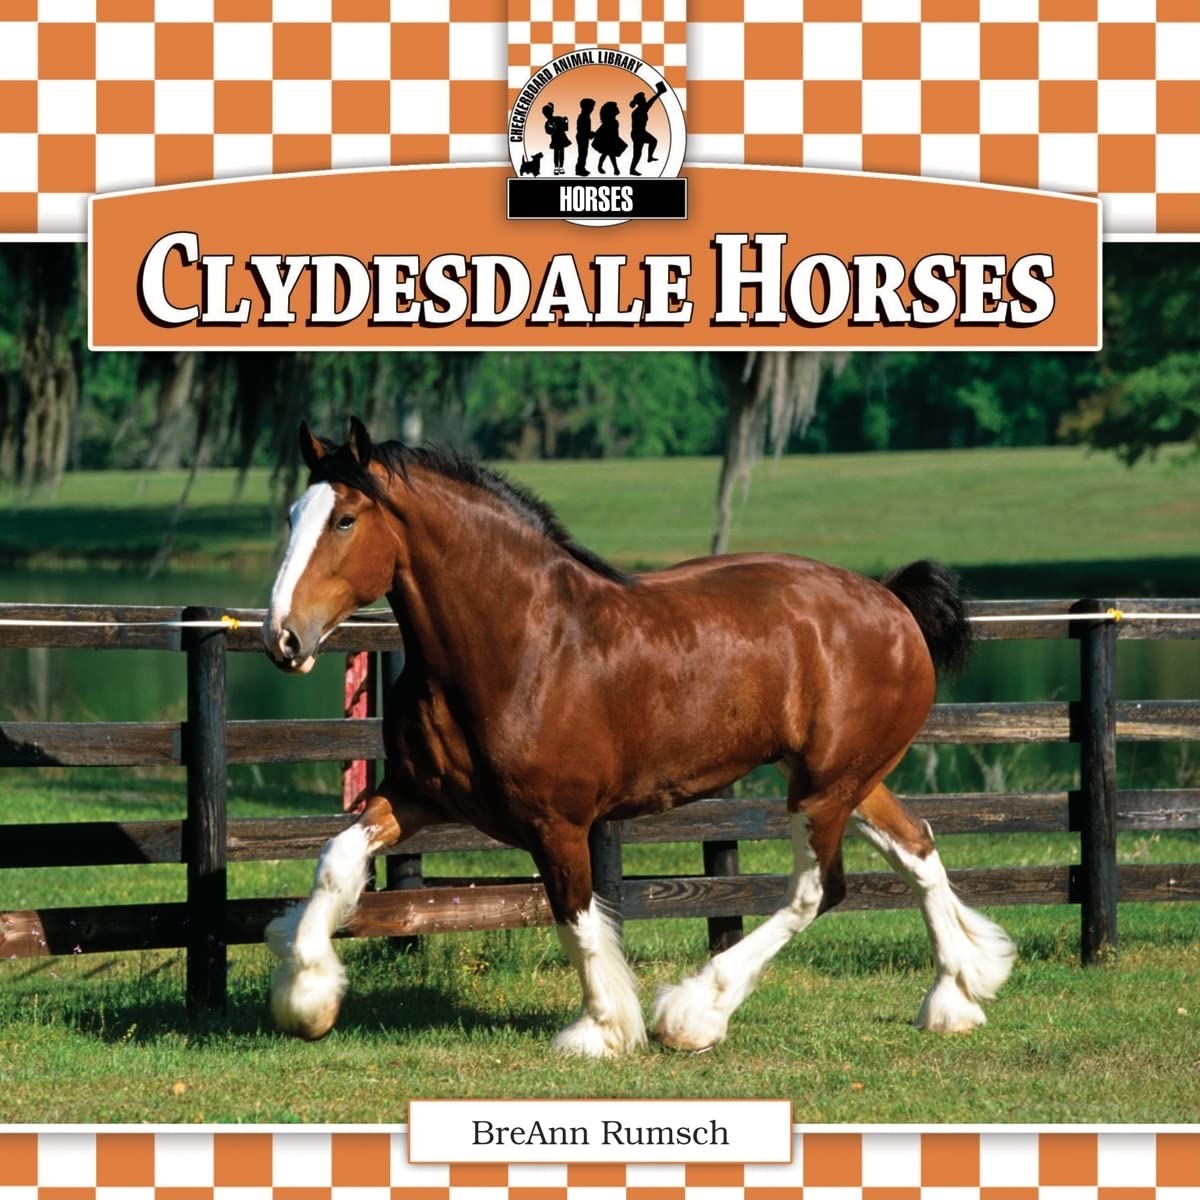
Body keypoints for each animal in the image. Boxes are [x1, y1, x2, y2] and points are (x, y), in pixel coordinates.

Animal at [262, 418, 1015, 1056]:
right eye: (294, 515)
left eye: (345, 519)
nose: (283, 638)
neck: (520, 644)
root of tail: (890, 601)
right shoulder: (419, 794)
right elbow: (336, 859)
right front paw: (307, 998)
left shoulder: (559, 822)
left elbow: (576, 917)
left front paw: (600, 1031)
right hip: (848, 779)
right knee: (916, 847)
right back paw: (958, 993)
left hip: (824, 788)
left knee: (816, 891)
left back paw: (695, 1013)